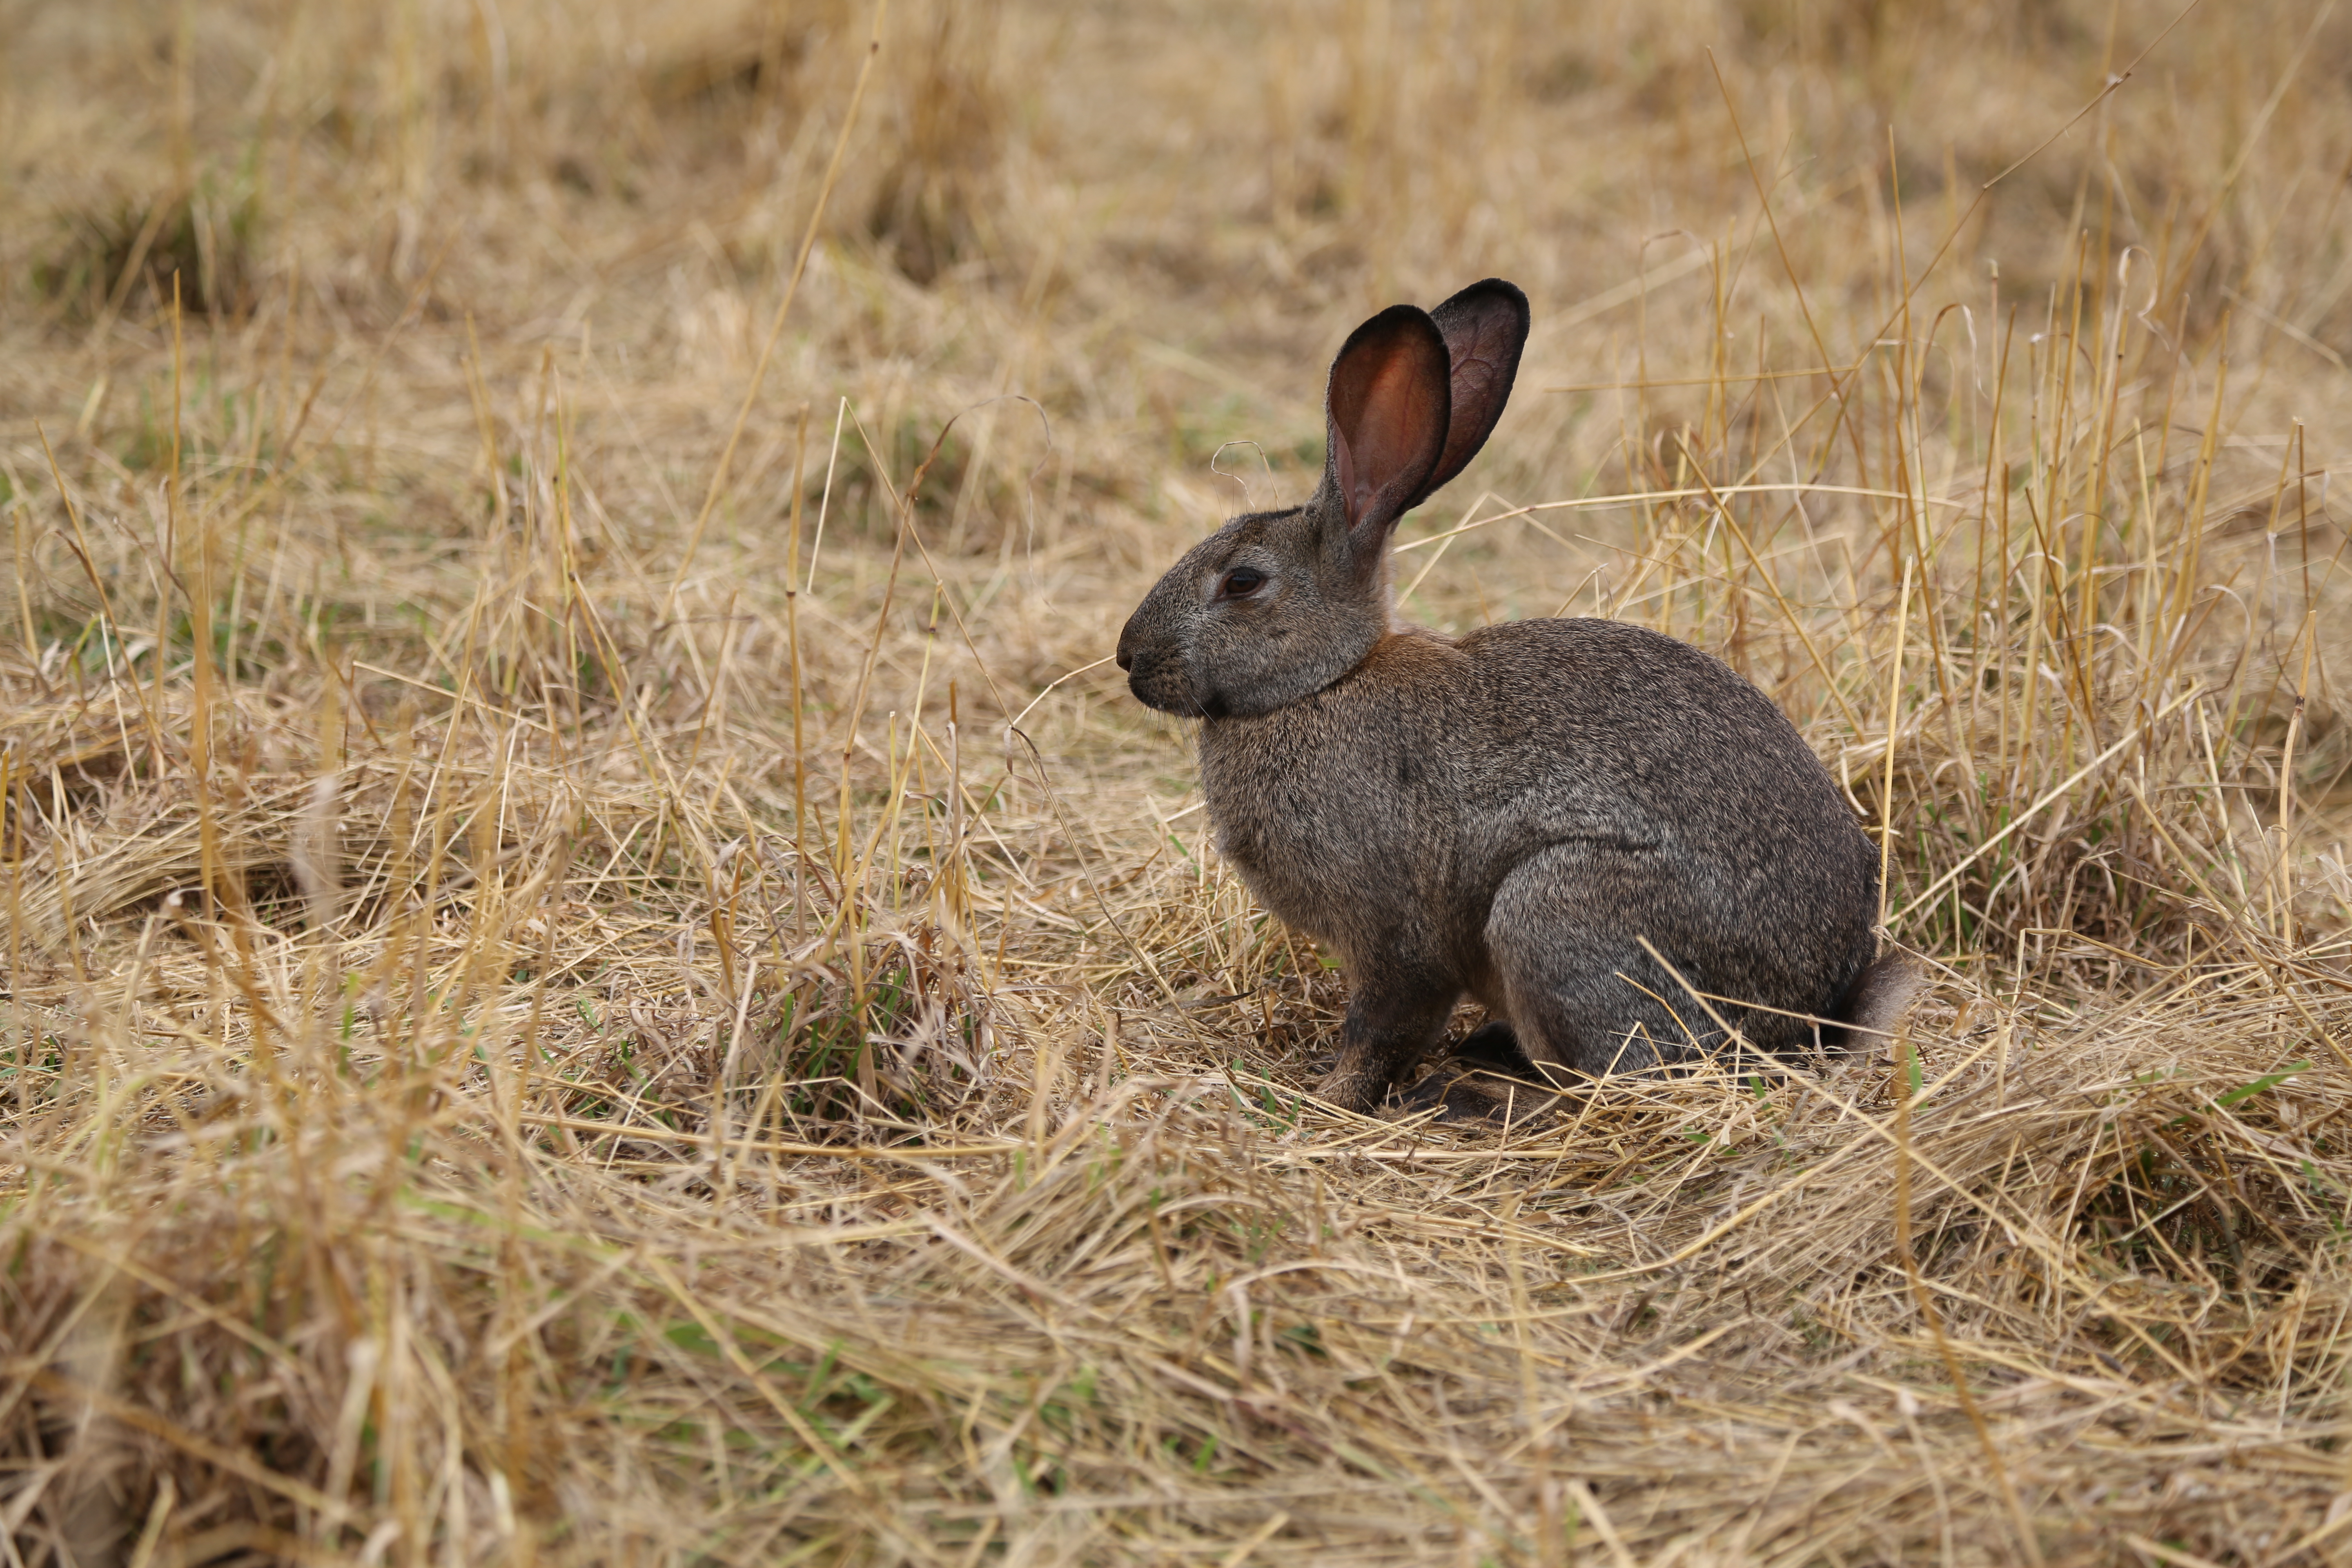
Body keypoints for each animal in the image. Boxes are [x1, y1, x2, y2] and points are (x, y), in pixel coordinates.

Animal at [1115, 278, 1922, 1117]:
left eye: (1243, 582)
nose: (1128, 657)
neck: (1327, 680)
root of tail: (1814, 1011)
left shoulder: (1397, 937)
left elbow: (1383, 1027)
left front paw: (1331, 1097)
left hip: (1553, 914)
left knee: (1613, 1085)